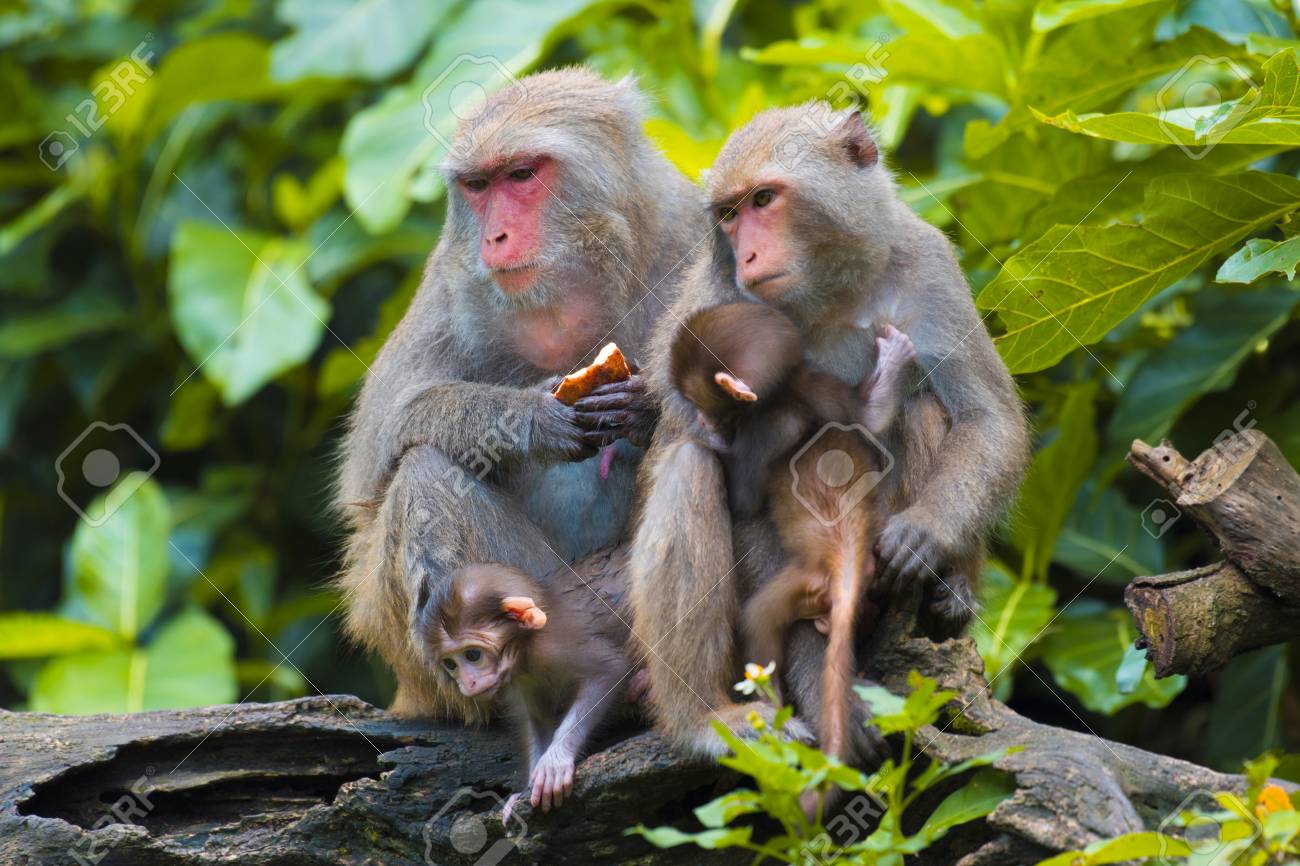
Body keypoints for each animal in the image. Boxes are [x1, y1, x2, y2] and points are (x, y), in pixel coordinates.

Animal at [334, 68, 706, 725]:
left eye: (523, 174)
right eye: (479, 186)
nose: (496, 237)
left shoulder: (692, 243)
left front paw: (642, 408)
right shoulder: (449, 282)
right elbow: (381, 446)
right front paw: (530, 418)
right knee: (426, 471)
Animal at [422, 556, 638, 815]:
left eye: (473, 655)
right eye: (450, 664)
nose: (468, 683)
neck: (525, 647)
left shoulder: (554, 646)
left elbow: (610, 669)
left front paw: (554, 762)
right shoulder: (524, 679)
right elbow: (537, 719)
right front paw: (525, 790)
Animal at [669, 302, 918, 769]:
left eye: (697, 400)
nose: (701, 417)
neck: (785, 391)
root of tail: (846, 561)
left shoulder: (763, 430)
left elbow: (743, 498)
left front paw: (711, 444)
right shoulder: (821, 385)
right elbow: (869, 416)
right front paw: (894, 361)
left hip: (802, 584)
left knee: (758, 618)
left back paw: (769, 711)